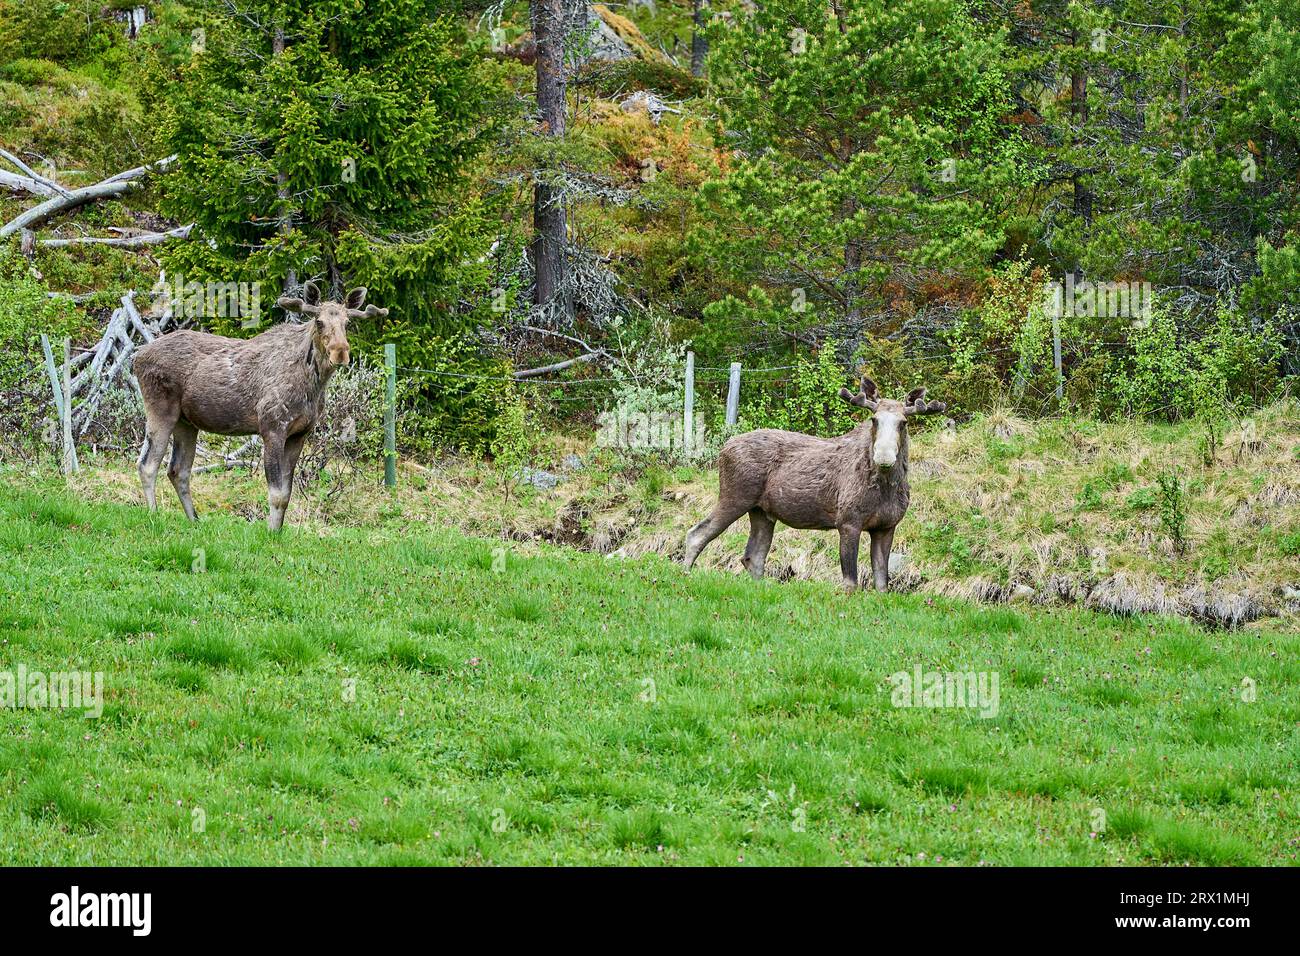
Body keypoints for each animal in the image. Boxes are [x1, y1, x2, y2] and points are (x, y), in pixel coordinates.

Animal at [132, 282, 387, 531]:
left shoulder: (300, 434)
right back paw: (154, 515)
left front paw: (278, 531)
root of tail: (137, 357)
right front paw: (271, 533)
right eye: (319, 321)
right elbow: (276, 494)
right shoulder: (272, 428)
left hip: (187, 422)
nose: (340, 352)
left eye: (347, 323)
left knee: (178, 471)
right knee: (147, 465)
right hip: (160, 409)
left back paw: (195, 521)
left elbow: (287, 494)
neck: (312, 387)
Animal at [682, 379, 946, 592]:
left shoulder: (886, 526)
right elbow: (850, 584)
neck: (886, 486)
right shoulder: (848, 522)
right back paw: (684, 576)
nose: (883, 455)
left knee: (753, 556)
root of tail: (723, 449)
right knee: (697, 534)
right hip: (735, 496)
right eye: (874, 420)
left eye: (903, 422)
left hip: (762, 512)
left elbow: (882, 585)